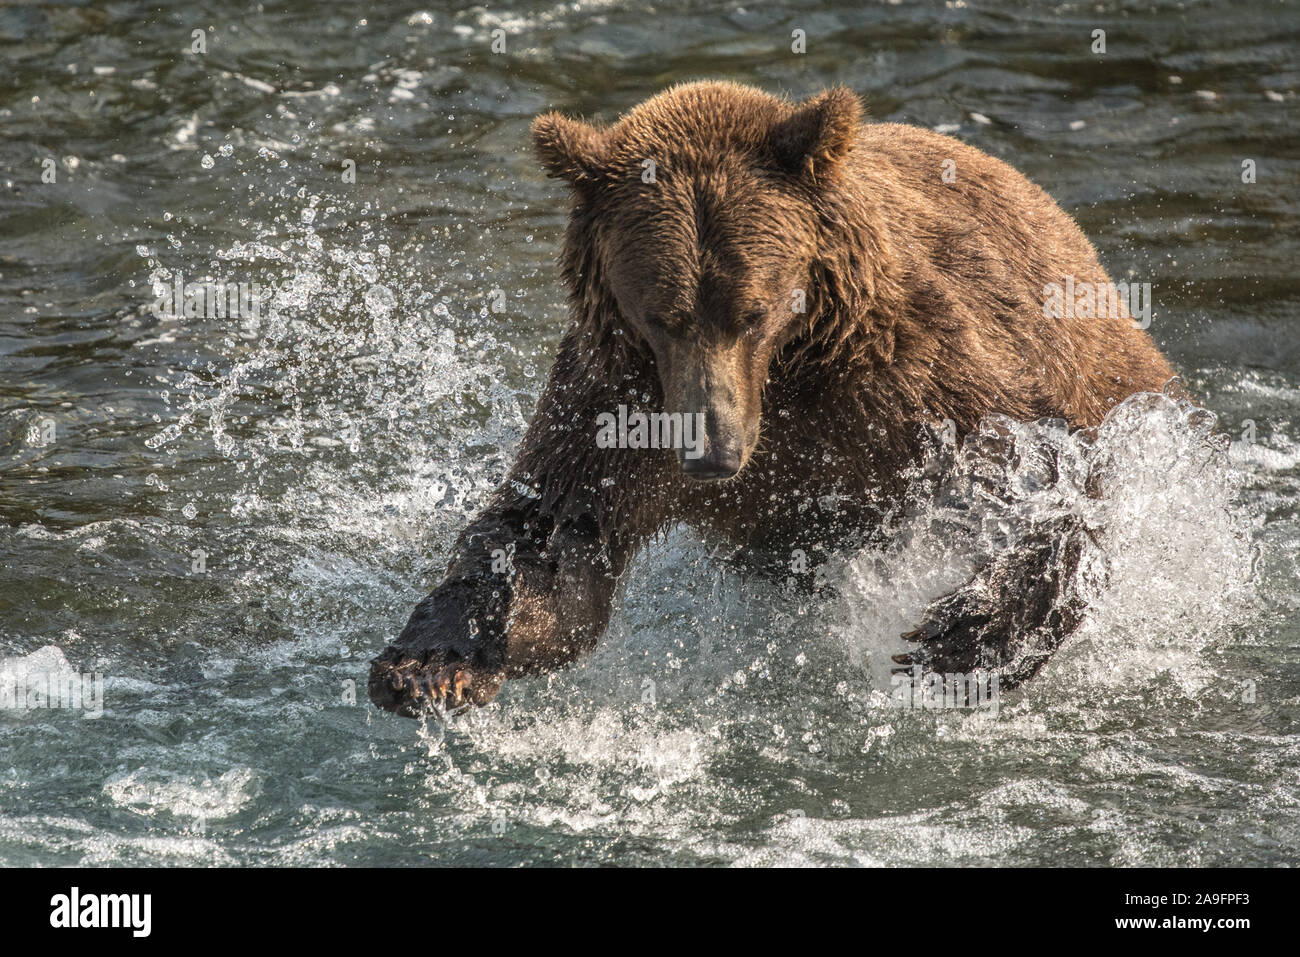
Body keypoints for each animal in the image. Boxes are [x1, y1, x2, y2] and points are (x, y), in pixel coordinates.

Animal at [368, 81, 1175, 717]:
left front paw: (962, 638)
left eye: (751, 311)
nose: (711, 452)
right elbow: (552, 535)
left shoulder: (918, 374)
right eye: (661, 314)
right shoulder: (617, 398)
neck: (786, 376)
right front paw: (429, 664)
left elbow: (1039, 468)